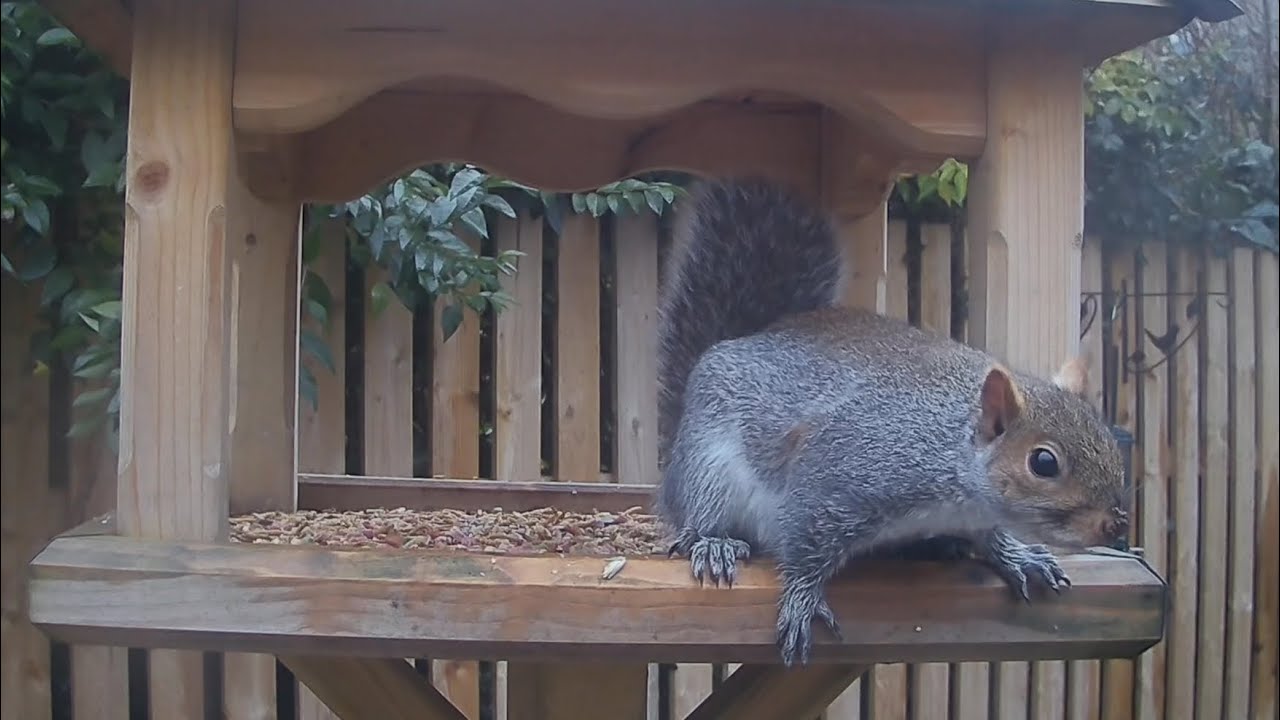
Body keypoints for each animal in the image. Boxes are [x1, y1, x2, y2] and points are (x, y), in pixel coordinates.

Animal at [654, 177, 1131, 667]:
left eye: (1111, 442)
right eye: (1043, 463)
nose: (1115, 525)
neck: (949, 448)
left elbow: (989, 536)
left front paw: (1019, 556)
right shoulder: (843, 477)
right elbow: (805, 543)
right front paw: (802, 598)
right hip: (709, 467)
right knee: (699, 514)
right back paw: (714, 543)